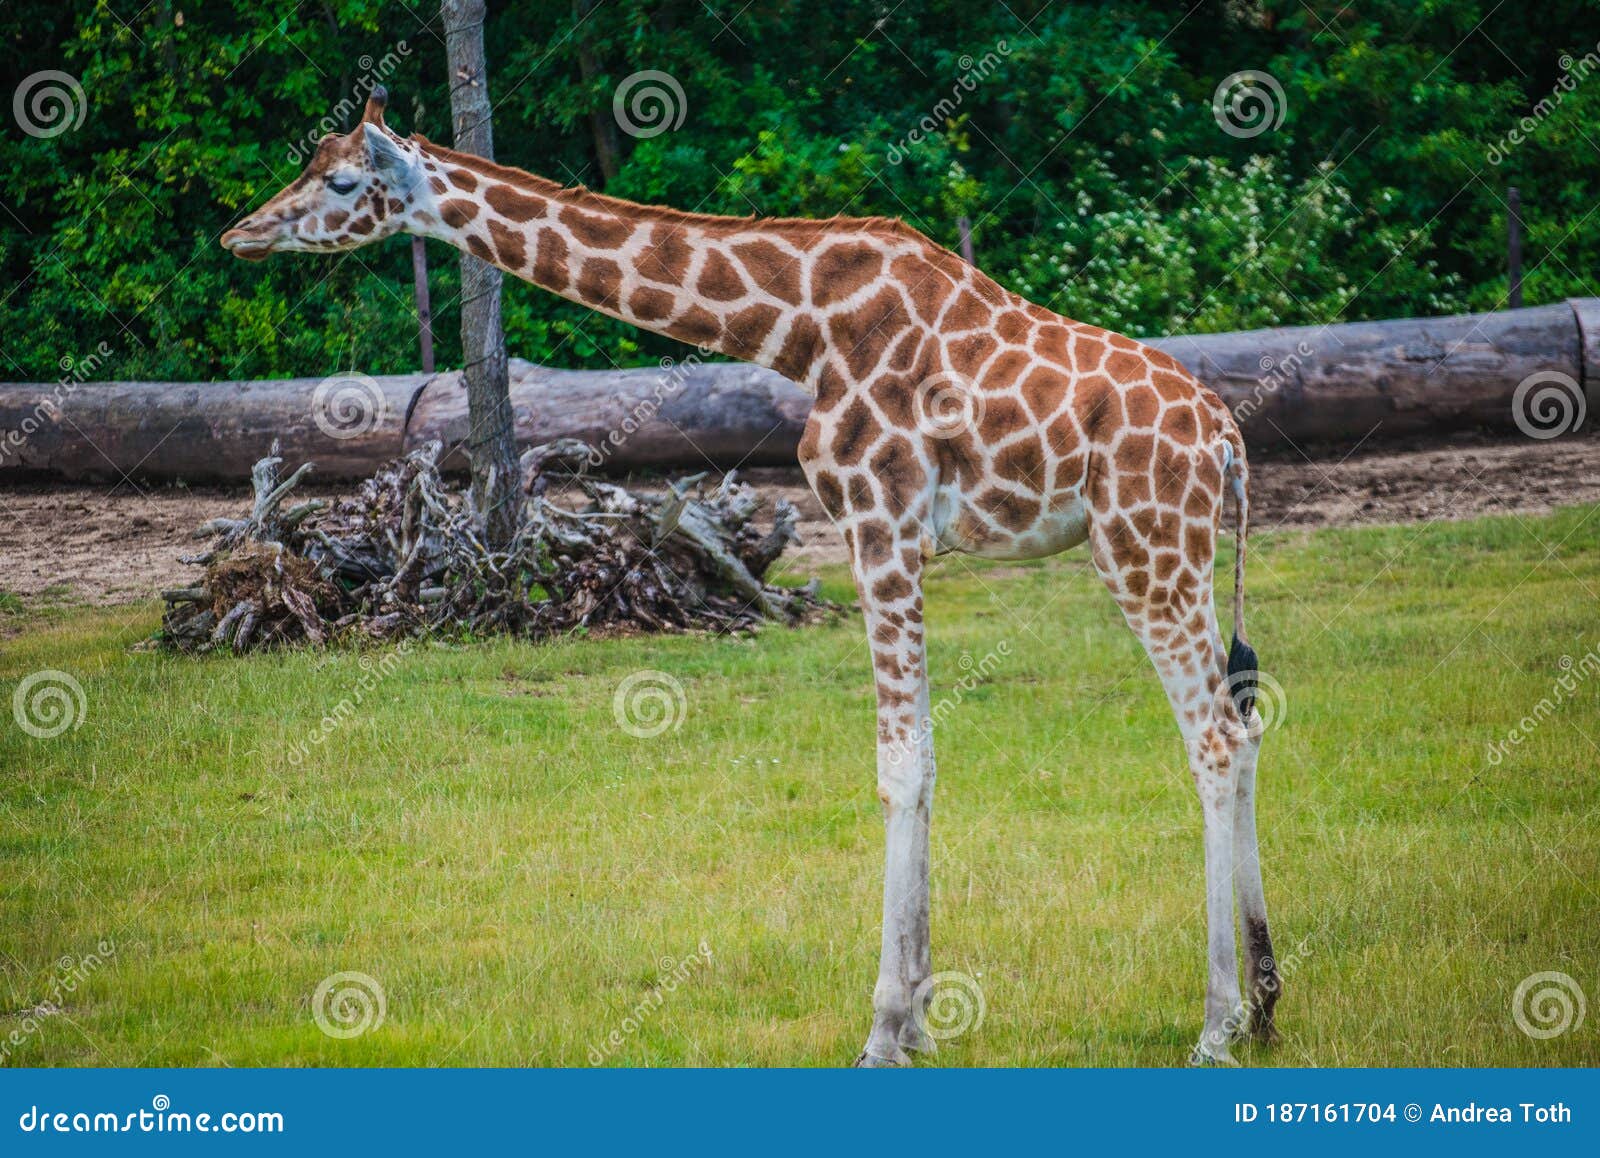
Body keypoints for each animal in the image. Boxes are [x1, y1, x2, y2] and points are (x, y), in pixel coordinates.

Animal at [223, 88, 1279, 1066]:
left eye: (341, 182)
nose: (241, 233)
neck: (798, 326)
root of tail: (1229, 442)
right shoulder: (896, 534)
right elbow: (928, 758)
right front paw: (922, 1023)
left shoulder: (879, 519)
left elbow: (901, 765)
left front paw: (882, 1031)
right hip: (1183, 554)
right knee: (1247, 718)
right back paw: (1266, 1002)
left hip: (1143, 546)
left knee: (1213, 739)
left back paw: (1215, 1025)